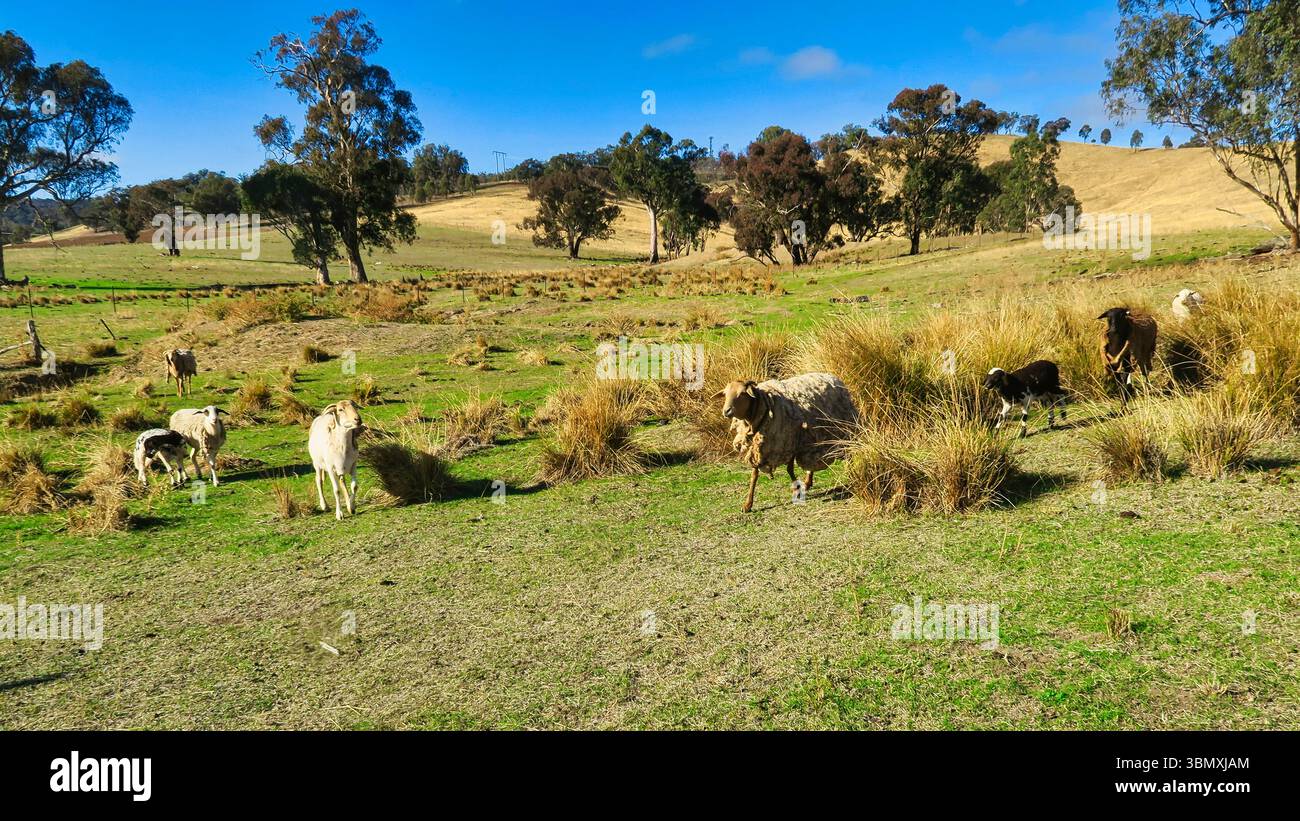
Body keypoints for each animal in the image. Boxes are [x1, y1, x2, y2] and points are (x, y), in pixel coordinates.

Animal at [715, 372, 858, 513]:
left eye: (742, 393)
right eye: (726, 394)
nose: (726, 411)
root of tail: (833, 377)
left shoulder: (788, 441)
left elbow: (789, 469)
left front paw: (797, 490)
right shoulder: (761, 447)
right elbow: (754, 475)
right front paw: (747, 505)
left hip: (845, 427)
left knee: (849, 452)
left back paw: (852, 477)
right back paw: (808, 481)